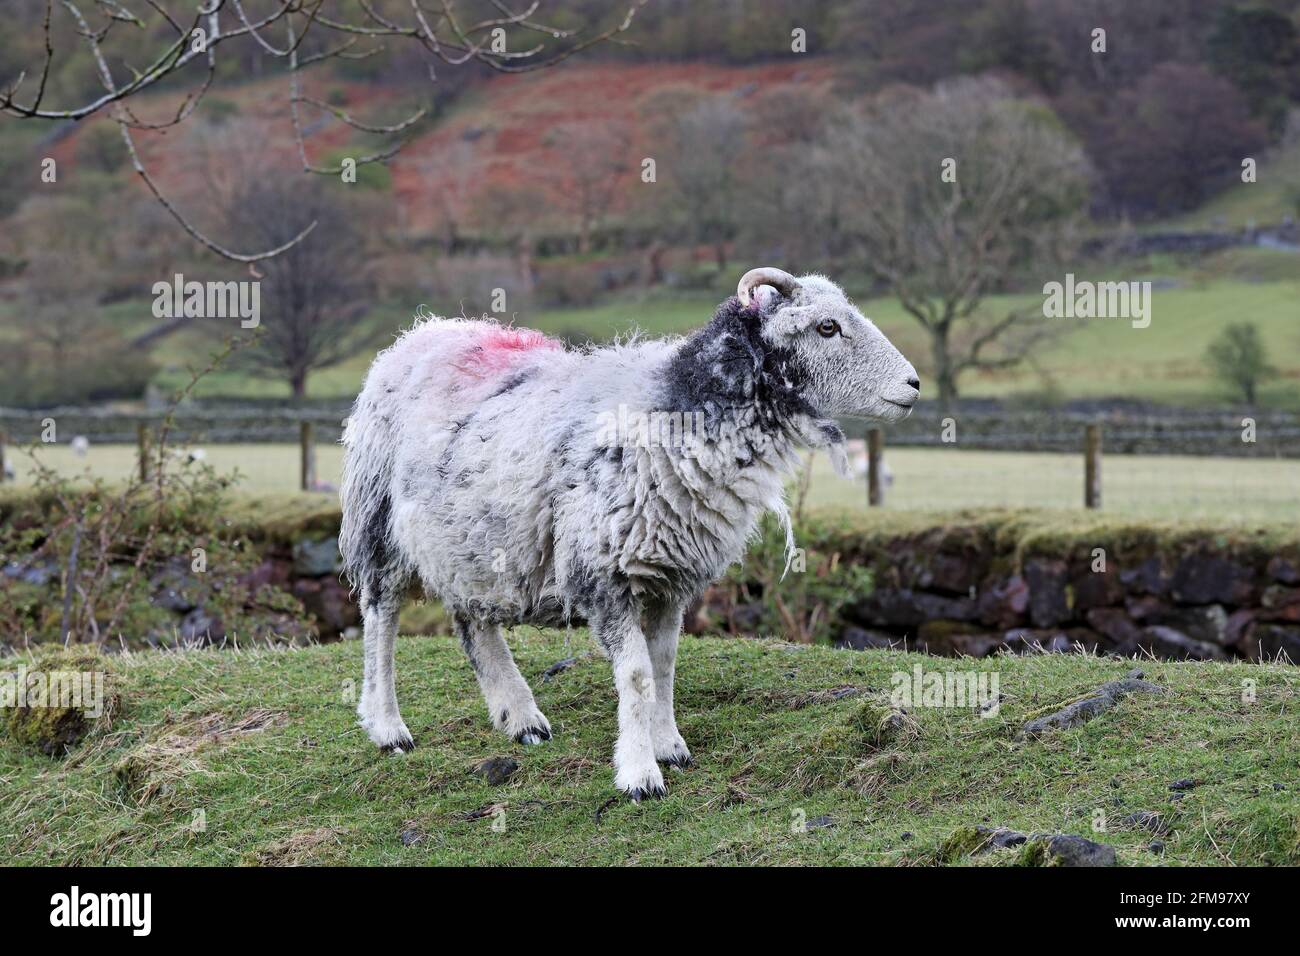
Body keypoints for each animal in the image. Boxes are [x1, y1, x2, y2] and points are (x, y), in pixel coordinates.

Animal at [340, 267, 920, 799]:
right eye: (827, 327)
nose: (914, 385)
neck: (677, 413)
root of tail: (423, 332)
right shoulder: (603, 574)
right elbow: (638, 673)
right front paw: (640, 773)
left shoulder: (672, 575)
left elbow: (663, 666)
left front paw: (670, 746)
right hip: (379, 524)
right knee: (381, 620)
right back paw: (388, 727)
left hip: (470, 541)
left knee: (473, 623)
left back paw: (521, 718)